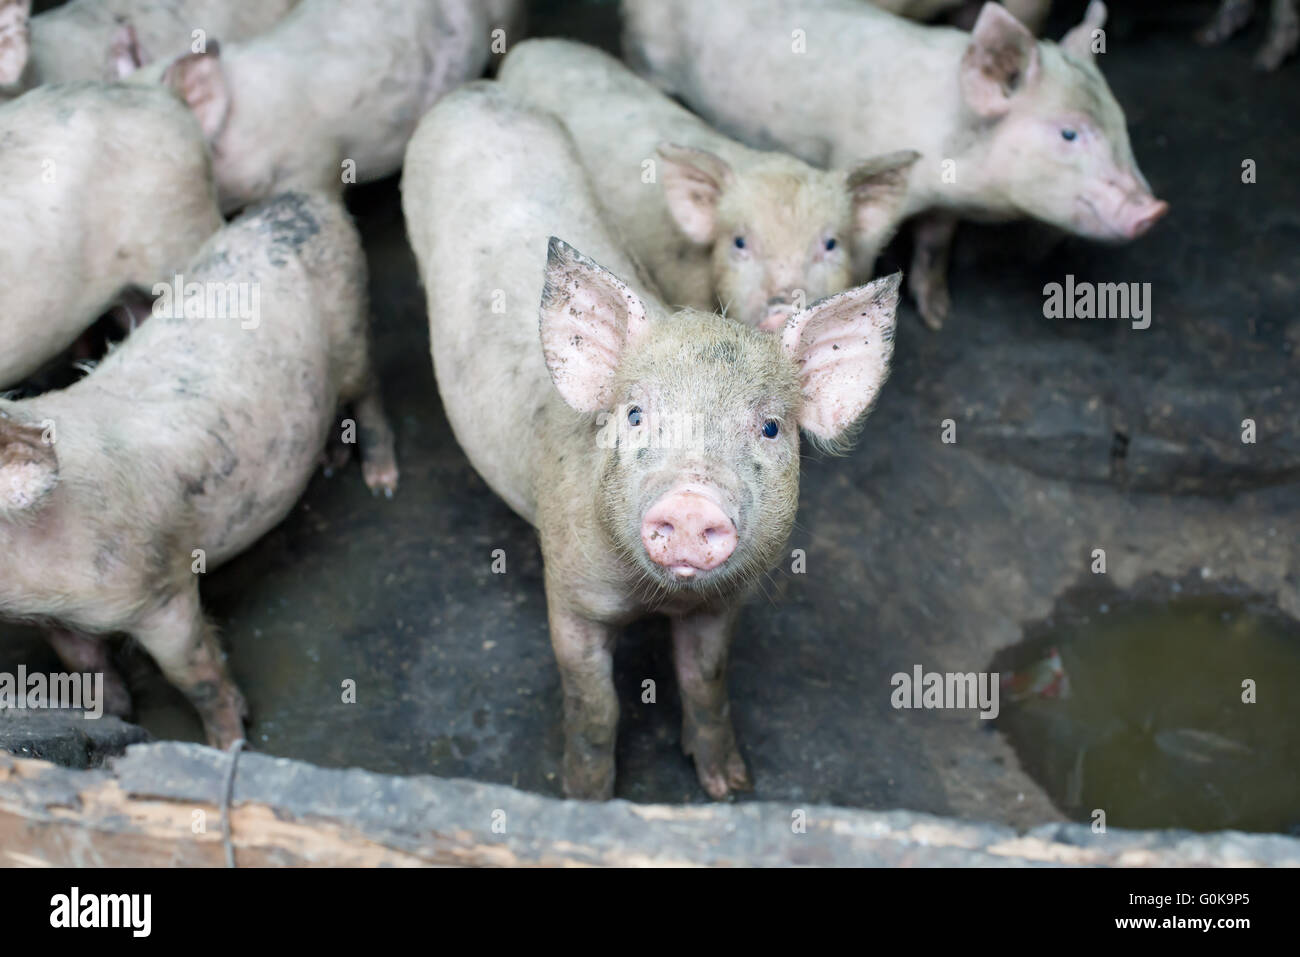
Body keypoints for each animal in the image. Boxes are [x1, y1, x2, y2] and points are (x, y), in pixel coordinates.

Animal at [0, 191, 398, 748]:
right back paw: (328, 462)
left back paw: (383, 484)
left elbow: (195, 675)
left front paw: (230, 742)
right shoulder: (55, 620)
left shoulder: (162, 591)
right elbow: (87, 666)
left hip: (354, 328)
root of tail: (302, 199)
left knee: (370, 394)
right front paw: (114, 717)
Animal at [403, 83, 900, 800]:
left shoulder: (724, 602)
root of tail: (476, 92)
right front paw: (586, 795)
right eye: (635, 414)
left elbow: (706, 681)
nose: (691, 501)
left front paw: (728, 785)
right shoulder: (569, 590)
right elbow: (596, 705)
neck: (656, 598)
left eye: (770, 426)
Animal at [623, 0, 1168, 329]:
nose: (1155, 210)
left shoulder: (944, 207)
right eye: (1069, 133)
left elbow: (935, 245)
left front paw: (940, 316)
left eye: (1120, 122)